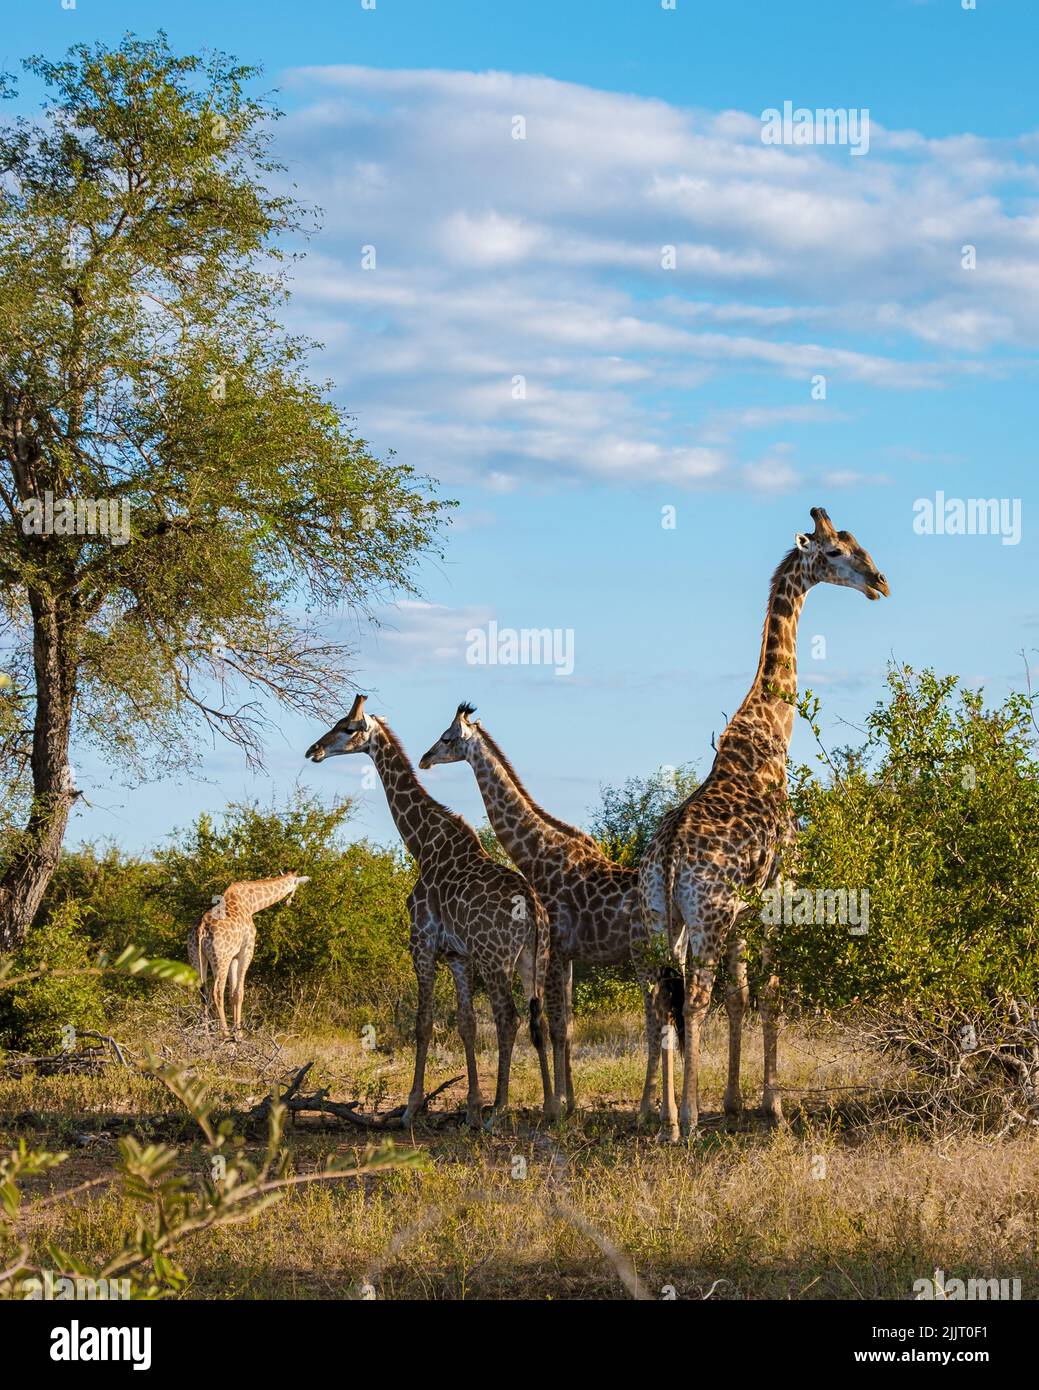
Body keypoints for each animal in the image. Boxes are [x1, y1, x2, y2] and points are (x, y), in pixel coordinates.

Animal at [189, 871, 310, 1038]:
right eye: (296, 884)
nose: (290, 902)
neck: (252, 904)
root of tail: (201, 929)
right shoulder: (247, 950)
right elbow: (239, 992)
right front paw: (239, 1034)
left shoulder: (234, 956)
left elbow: (232, 994)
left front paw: (237, 1031)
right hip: (220, 958)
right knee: (217, 992)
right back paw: (225, 1035)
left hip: (196, 957)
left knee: (203, 993)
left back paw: (205, 1034)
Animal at [305, 695, 558, 1127]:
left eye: (348, 727)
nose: (314, 751)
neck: (421, 844)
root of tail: (533, 911)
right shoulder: (457, 955)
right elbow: (466, 1024)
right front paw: (470, 1107)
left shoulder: (421, 943)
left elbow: (423, 1024)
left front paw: (411, 1107)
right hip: (532, 959)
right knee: (536, 1017)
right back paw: (551, 1106)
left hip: (495, 959)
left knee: (508, 1018)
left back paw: (499, 1111)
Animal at [419, 705, 659, 1118]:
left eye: (447, 737)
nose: (425, 758)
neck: (536, 854)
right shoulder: (567, 955)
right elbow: (569, 1027)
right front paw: (570, 1102)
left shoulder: (555, 950)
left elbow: (556, 1026)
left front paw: (556, 1105)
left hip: (645, 955)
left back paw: (648, 1107)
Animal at [638, 507, 889, 1140]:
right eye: (835, 552)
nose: (879, 581)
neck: (771, 735)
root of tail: (668, 855)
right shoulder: (782, 886)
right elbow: (769, 994)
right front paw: (770, 1107)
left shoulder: (746, 908)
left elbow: (741, 993)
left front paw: (734, 1101)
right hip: (707, 913)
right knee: (692, 998)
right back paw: (689, 1122)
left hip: (661, 918)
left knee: (661, 997)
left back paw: (662, 1117)